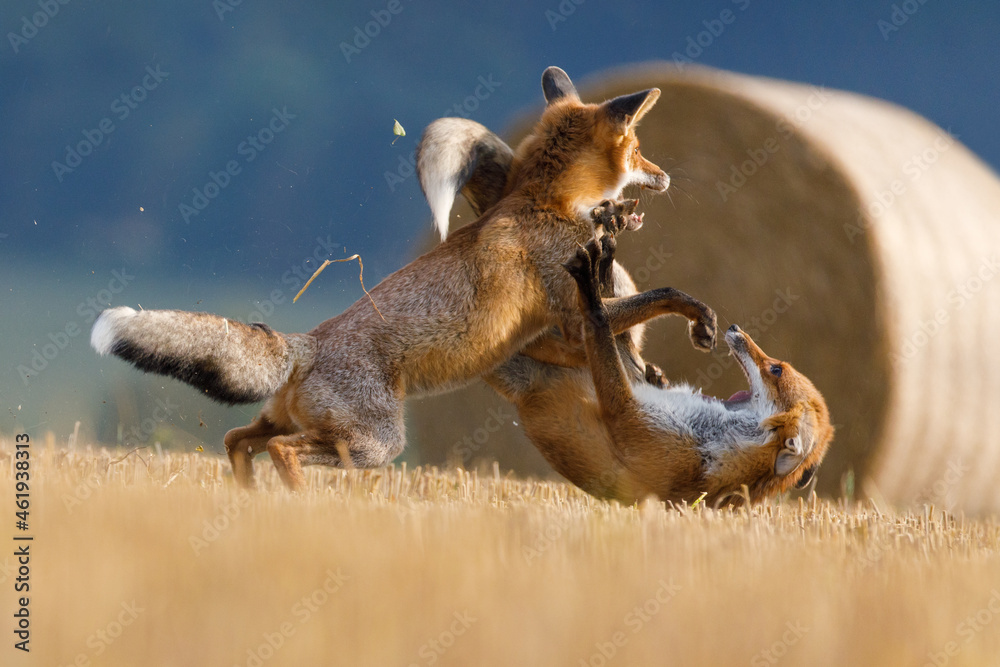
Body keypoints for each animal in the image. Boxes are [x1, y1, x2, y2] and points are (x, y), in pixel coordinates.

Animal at [91, 66, 714, 491]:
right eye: (638, 148)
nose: (665, 176)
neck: (545, 203)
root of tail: (304, 344)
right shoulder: (572, 317)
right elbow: (667, 295)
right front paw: (700, 323)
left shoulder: (556, 338)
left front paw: (652, 367)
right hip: (375, 444)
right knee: (285, 451)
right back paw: (293, 505)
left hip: (302, 427)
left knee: (237, 439)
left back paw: (249, 501)